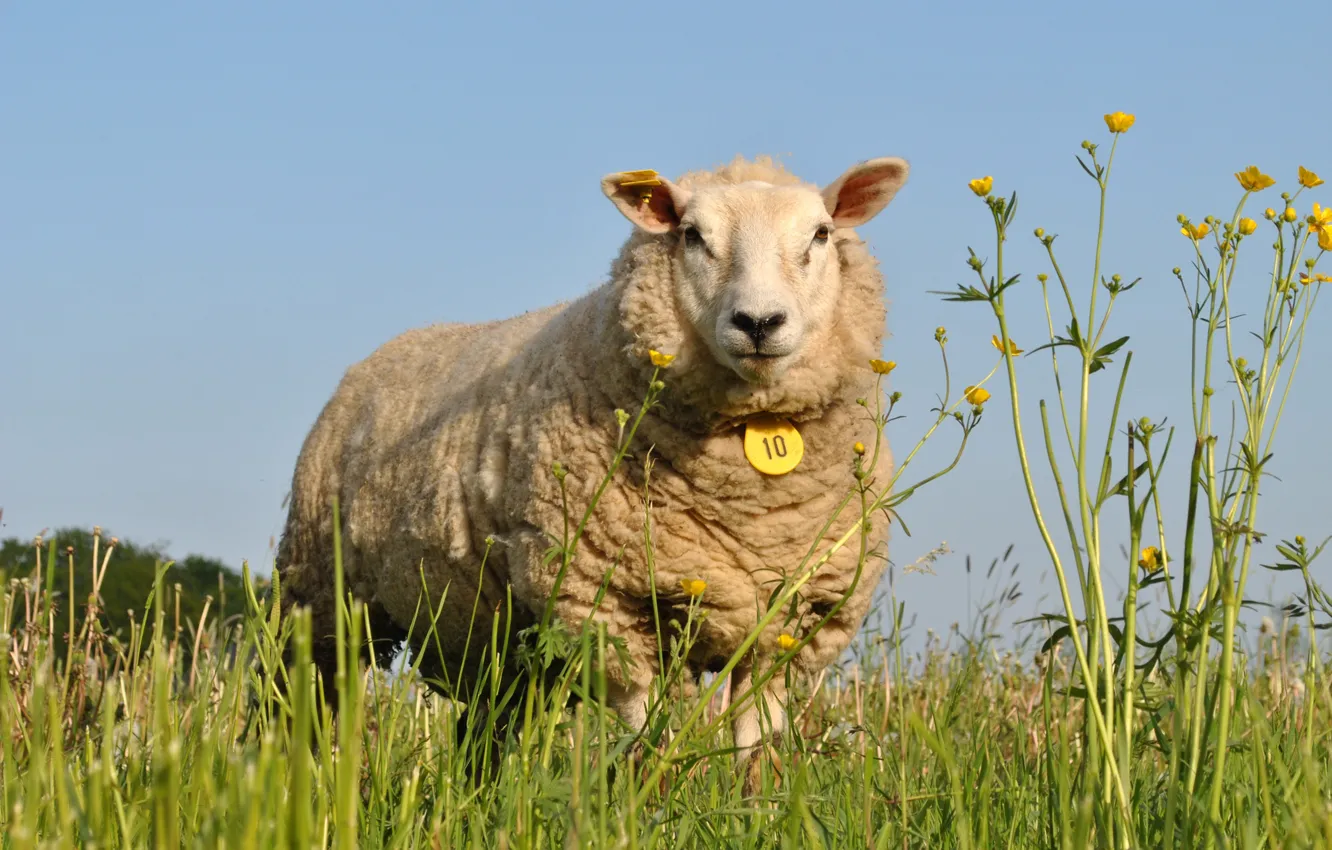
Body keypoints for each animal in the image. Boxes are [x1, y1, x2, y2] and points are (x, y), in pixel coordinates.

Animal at [274, 153, 907, 785]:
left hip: (493, 644)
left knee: (482, 730)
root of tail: (393, 347)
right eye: (692, 235)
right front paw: (651, 794)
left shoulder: (792, 624)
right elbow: (647, 738)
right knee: (298, 696)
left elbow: (758, 749)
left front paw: (760, 801)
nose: (758, 322)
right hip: (320, 599)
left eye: (820, 234)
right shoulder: (608, 607)